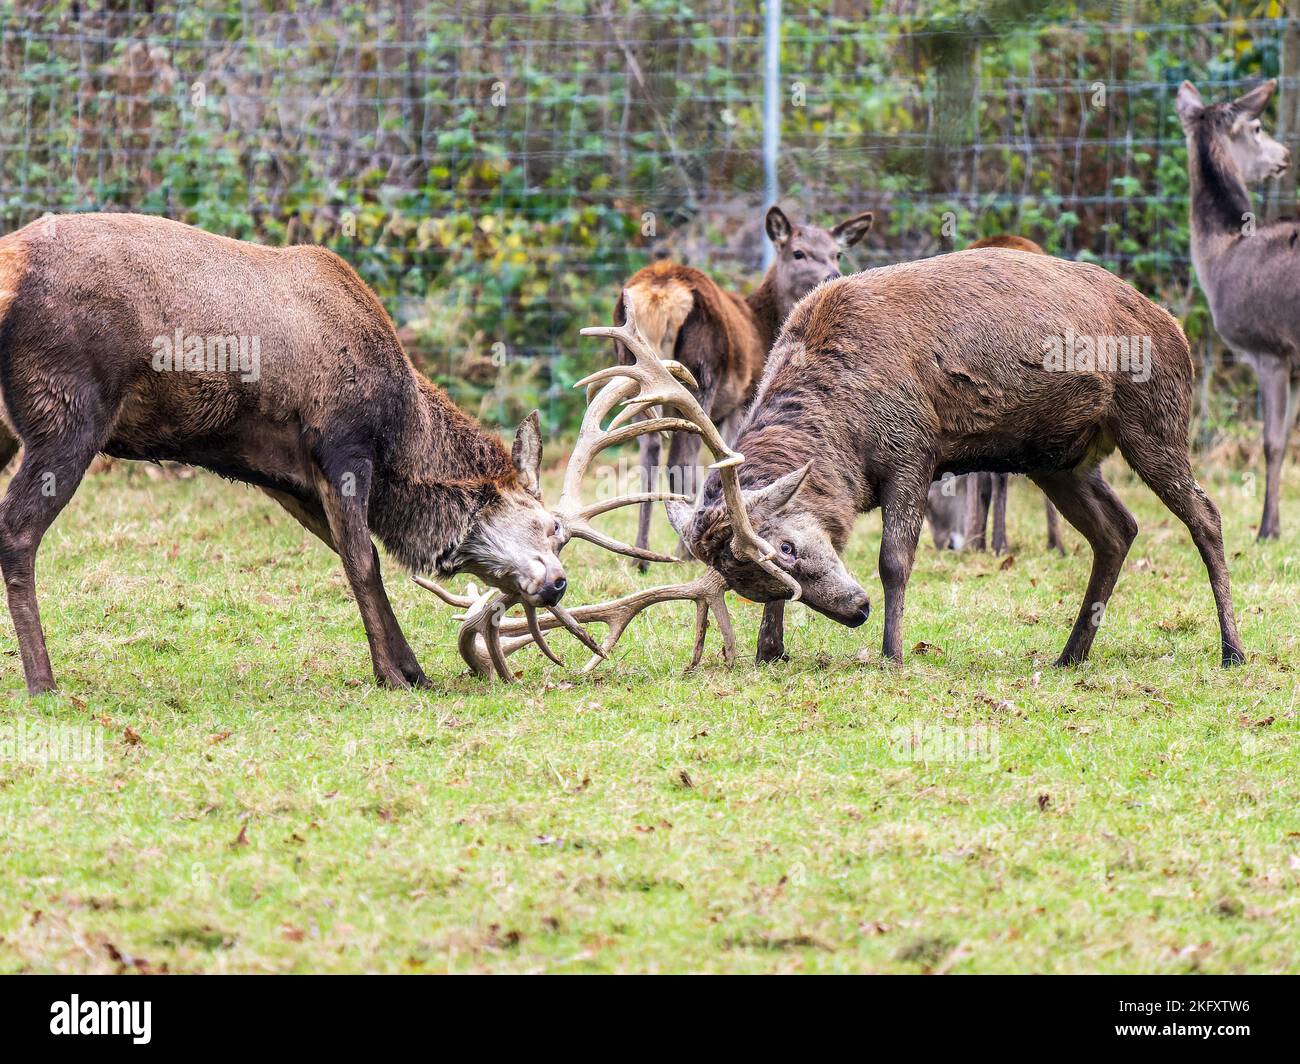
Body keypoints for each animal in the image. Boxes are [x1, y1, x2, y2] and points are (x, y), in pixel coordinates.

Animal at [0, 211, 601, 695]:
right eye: (551, 526)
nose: (557, 584)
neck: (400, 431)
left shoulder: (285, 474)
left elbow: (355, 553)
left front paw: (413, 669)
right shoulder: (342, 444)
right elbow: (362, 561)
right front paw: (392, 675)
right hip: (68, 412)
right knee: (17, 530)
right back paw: (43, 681)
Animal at [615, 204, 873, 569]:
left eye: (837, 252)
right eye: (798, 252)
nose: (832, 273)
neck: (761, 324)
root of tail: (659, 294)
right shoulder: (742, 399)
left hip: (635, 374)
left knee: (648, 452)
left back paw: (642, 556)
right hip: (701, 373)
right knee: (680, 459)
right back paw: (682, 554)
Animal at [1175, 79, 1297, 540]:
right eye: (1258, 128)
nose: (1285, 155)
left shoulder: (1270, 348)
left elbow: (1273, 443)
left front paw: (1267, 529)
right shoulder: (1292, 363)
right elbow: (1285, 438)